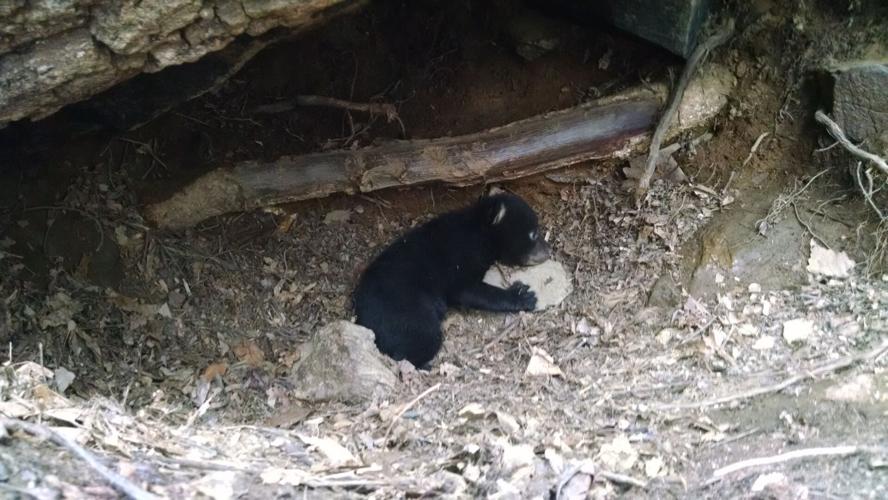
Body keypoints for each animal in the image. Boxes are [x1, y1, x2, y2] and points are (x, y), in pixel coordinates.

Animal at [353, 191, 550, 368]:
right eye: (533, 234)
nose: (549, 250)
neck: (480, 234)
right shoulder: (460, 262)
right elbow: (469, 291)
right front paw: (523, 295)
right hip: (408, 310)